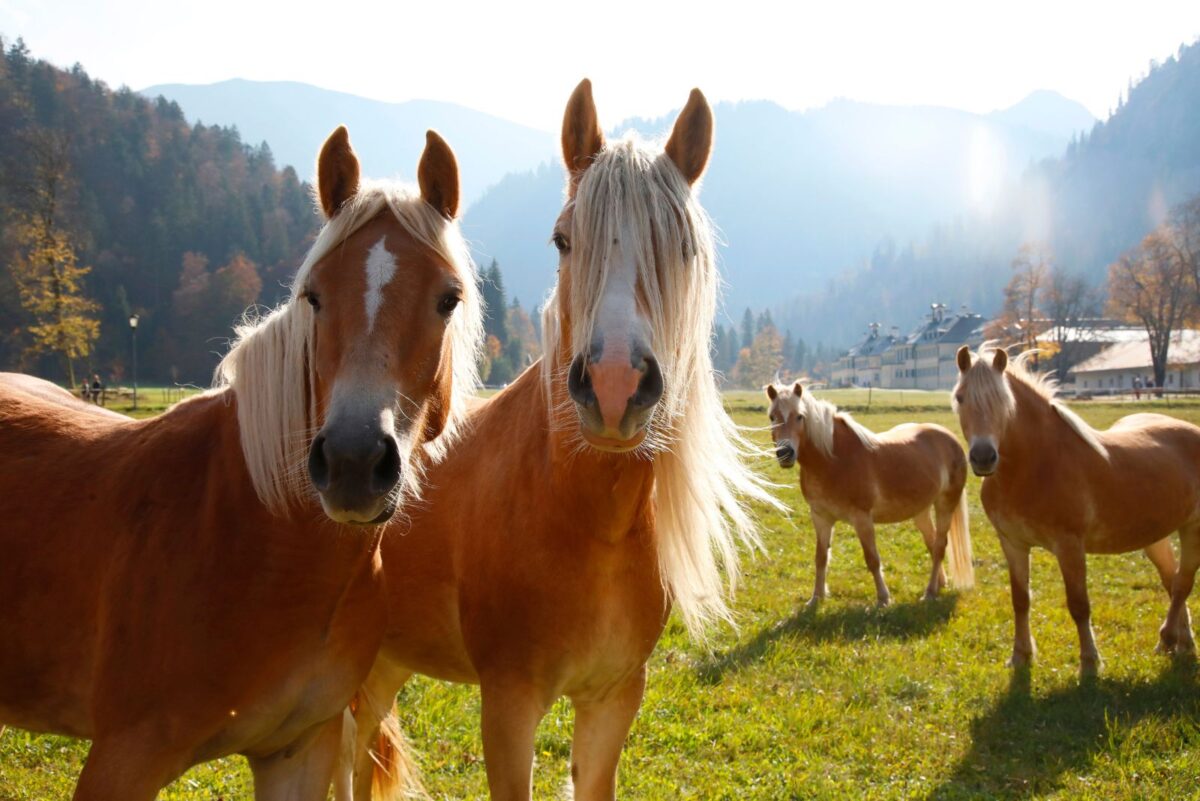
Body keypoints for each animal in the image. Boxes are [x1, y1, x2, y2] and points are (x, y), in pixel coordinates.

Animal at [0, 125, 482, 800]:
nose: (354, 461)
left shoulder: (299, 751)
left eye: (448, 299)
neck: (257, 538)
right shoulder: (122, 758)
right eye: (313, 296)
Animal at [286, 80, 780, 801]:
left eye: (683, 247)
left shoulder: (613, 699)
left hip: (387, 662)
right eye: (563, 240)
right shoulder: (509, 705)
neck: (584, 517)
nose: (614, 384)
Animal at [766, 381, 974, 607]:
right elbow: (821, 557)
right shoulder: (821, 517)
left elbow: (872, 559)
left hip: (945, 503)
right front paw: (816, 598)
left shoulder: (862, 518)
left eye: (800, 416)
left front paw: (883, 598)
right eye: (772, 417)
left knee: (939, 546)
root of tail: (950, 438)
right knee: (932, 542)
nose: (785, 454)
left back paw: (929, 592)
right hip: (921, 511)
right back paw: (939, 584)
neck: (834, 460)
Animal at [952, 344, 1200, 675]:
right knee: (1173, 581)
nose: (983, 457)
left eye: (1004, 400)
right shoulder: (1013, 543)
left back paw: (1167, 639)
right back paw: (1182, 643)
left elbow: (1079, 604)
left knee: (1183, 582)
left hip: (1193, 529)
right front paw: (1020, 656)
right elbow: (1020, 600)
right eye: (960, 397)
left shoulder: (1069, 546)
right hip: (1156, 535)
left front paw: (1090, 662)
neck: (1035, 466)